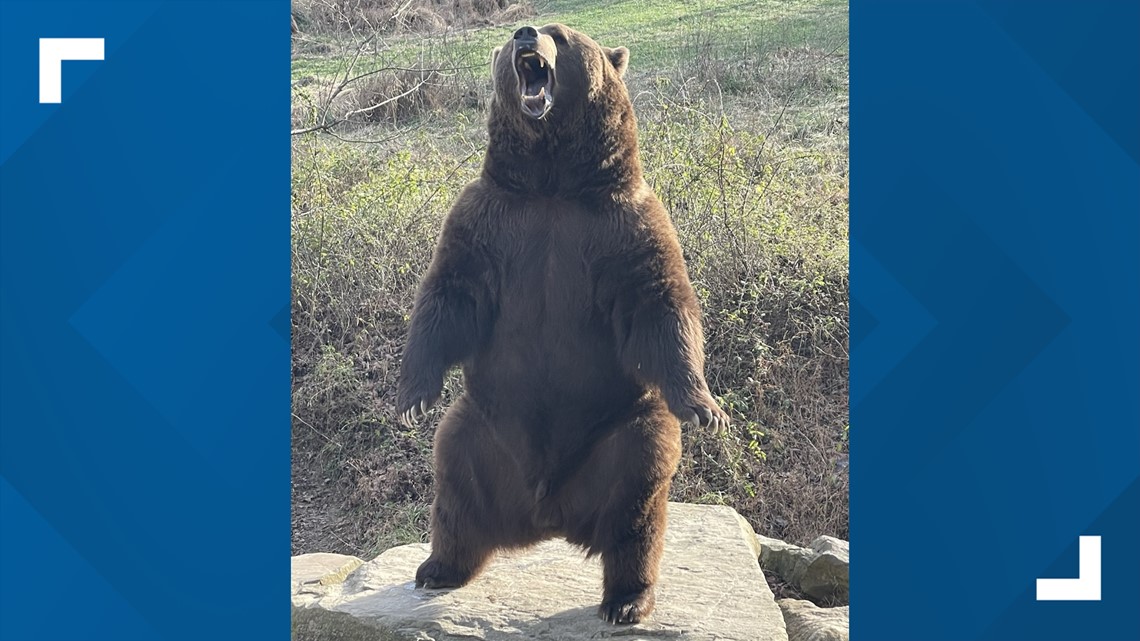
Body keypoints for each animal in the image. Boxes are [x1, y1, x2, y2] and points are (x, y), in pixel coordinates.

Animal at [395, 23, 728, 625]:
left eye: (561, 35)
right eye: (519, 32)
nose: (526, 33)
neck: (552, 182)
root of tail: (548, 514)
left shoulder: (624, 224)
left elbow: (659, 304)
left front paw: (705, 407)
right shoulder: (489, 219)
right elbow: (449, 296)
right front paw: (412, 398)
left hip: (620, 431)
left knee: (637, 498)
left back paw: (627, 599)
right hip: (482, 431)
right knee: (454, 479)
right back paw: (438, 567)